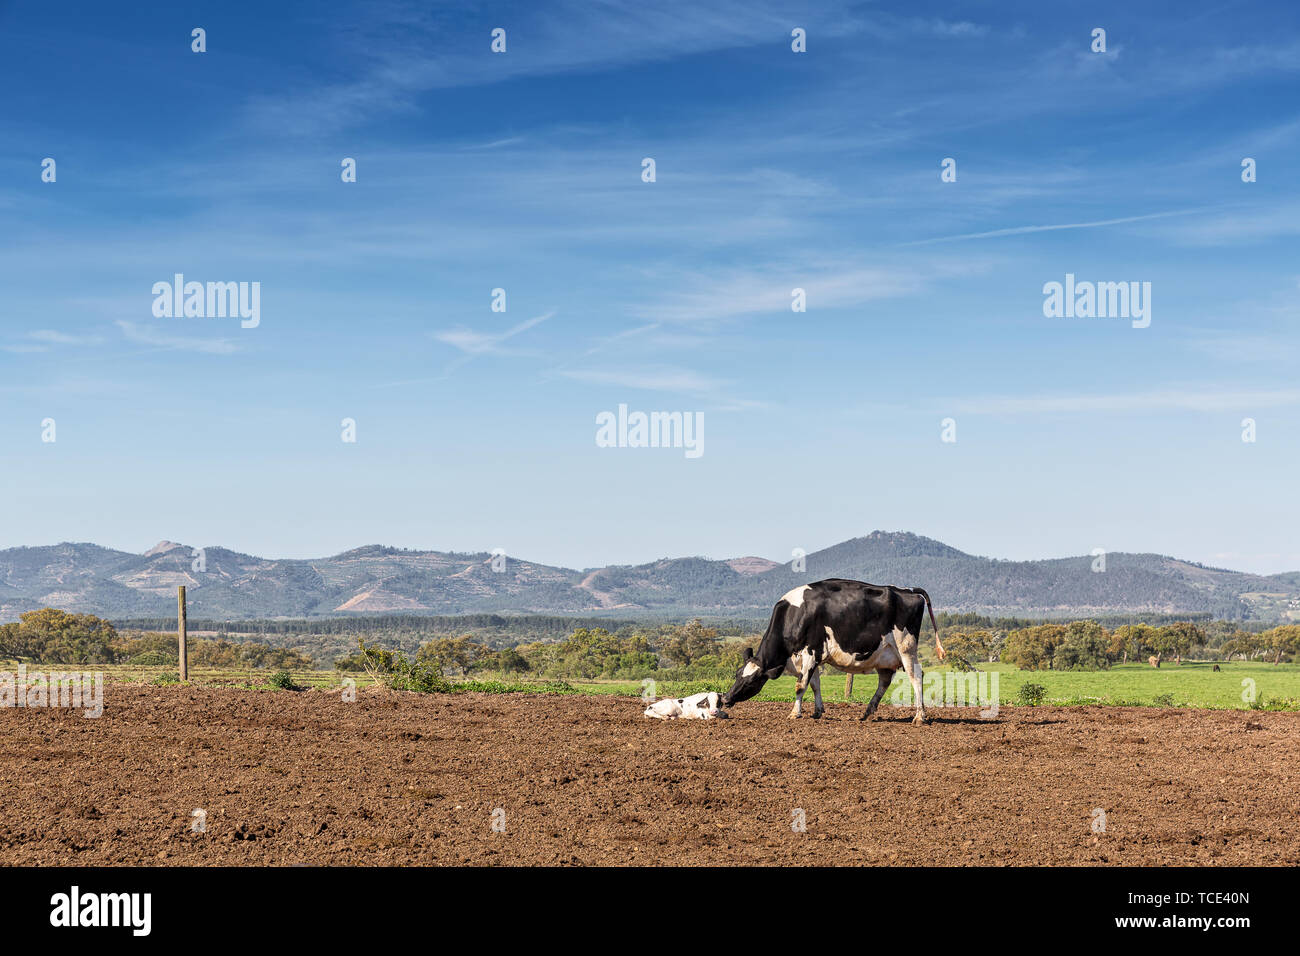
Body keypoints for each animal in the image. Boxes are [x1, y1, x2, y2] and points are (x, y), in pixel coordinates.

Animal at [722, 580, 944, 724]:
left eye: (751, 682)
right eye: (737, 675)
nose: (725, 698)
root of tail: (908, 590)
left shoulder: (811, 652)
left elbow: (800, 686)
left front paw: (795, 713)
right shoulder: (812, 657)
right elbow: (814, 685)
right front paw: (817, 711)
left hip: (906, 648)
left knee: (916, 676)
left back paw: (919, 716)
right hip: (885, 655)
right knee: (884, 681)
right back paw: (867, 712)